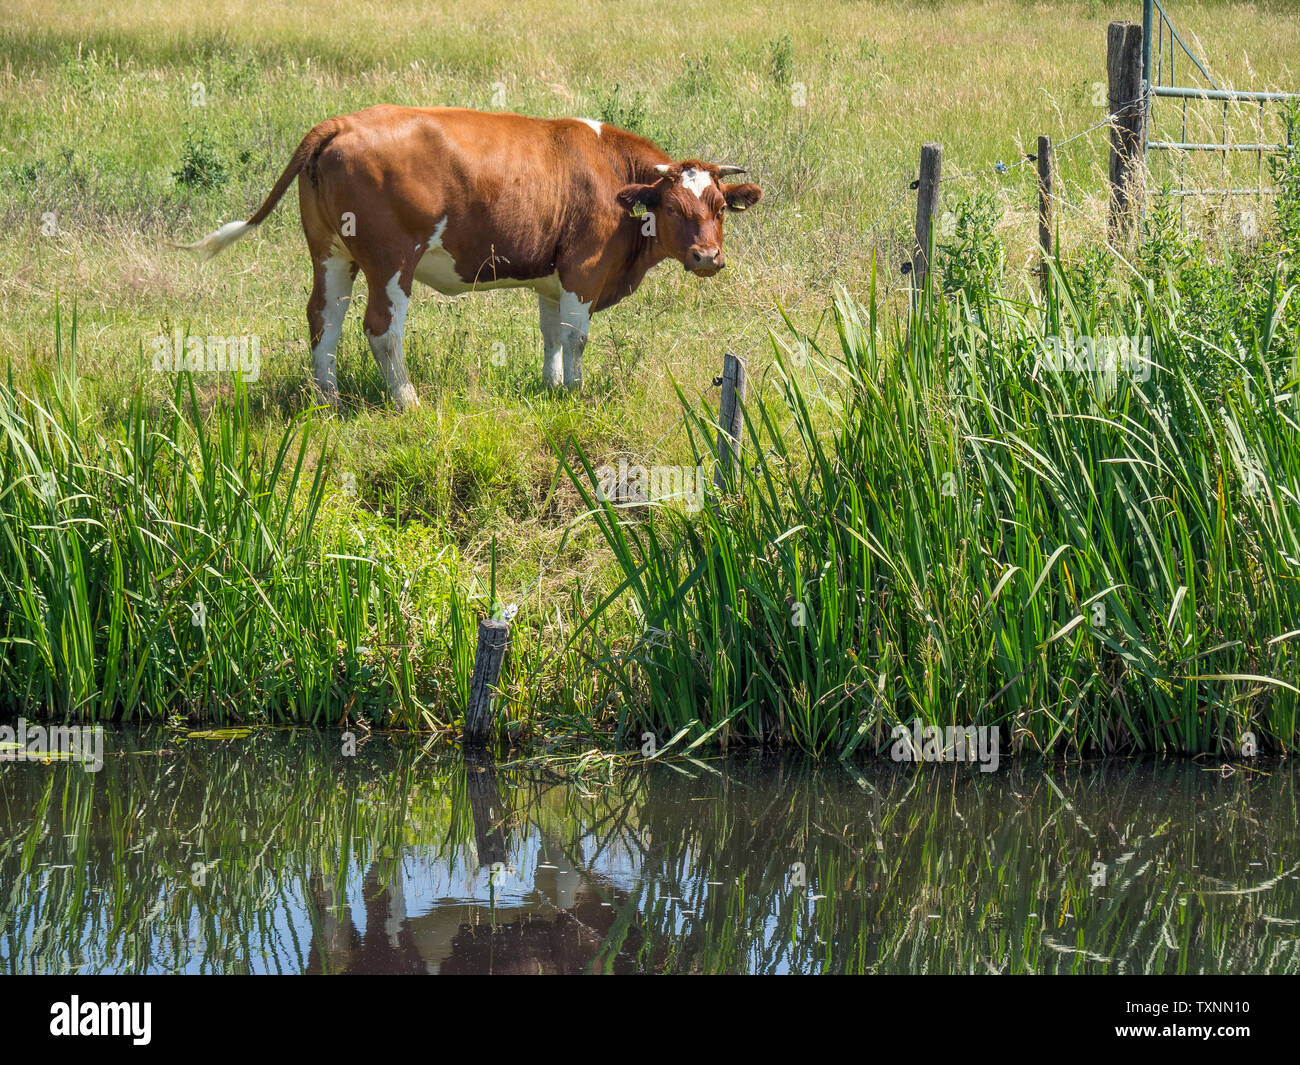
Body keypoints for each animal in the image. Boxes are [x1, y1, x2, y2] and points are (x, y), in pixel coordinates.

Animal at [176, 106, 763, 408]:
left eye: (719, 208)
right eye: (672, 207)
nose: (708, 257)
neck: (613, 173)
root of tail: (341, 122)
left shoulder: (552, 278)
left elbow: (551, 335)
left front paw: (552, 388)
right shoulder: (584, 268)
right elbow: (575, 337)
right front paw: (574, 392)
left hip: (331, 253)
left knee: (325, 318)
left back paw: (329, 400)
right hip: (392, 262)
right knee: (380, 329)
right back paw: (408, 401)